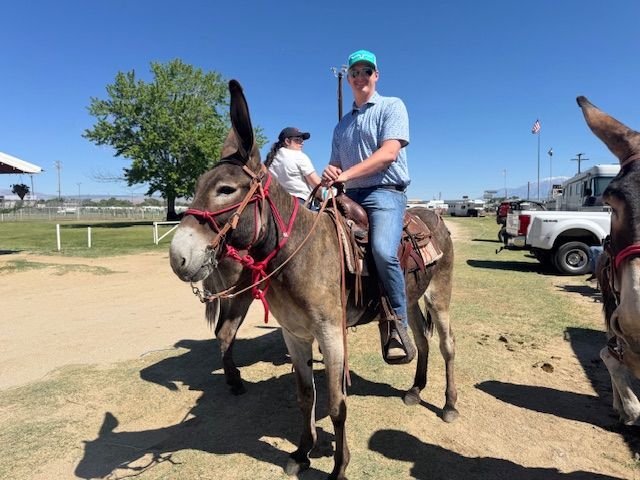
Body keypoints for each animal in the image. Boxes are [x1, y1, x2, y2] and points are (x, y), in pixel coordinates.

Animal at [169, 80, 457, 479]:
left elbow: (336, 404)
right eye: (198, 185)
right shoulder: (295, 335)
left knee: (447, 344)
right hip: (412, 298)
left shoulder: (331, 334)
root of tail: (435, 218)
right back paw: (415, 389)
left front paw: (339, 467)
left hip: (440, 296)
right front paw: (302, 452)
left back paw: (449, 405)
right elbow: (306, 396)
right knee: (421, 340)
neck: (298, 254)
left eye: (226, 189)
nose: (178, 256)